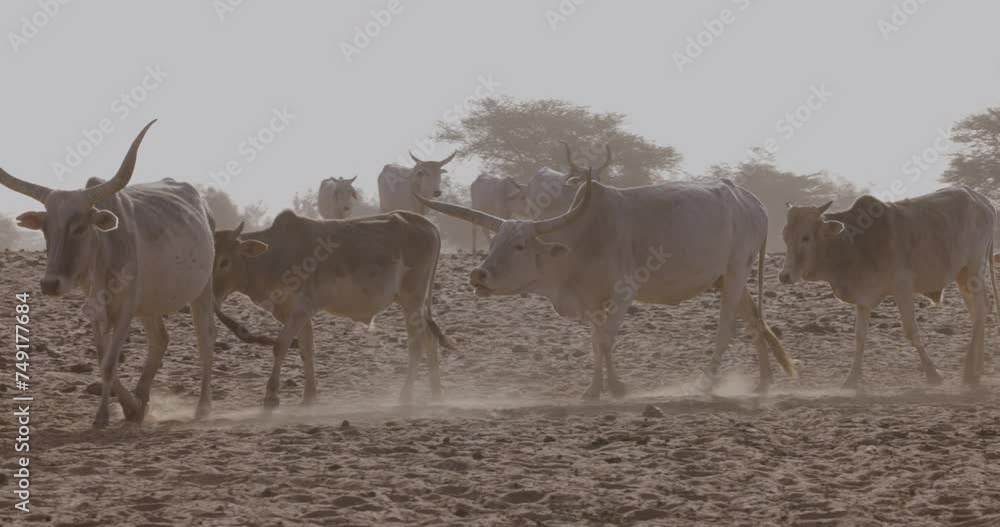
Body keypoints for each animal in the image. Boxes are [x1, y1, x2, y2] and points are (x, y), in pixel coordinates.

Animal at [0, 120, 216, 428]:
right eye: (45, 228)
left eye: (79, 227)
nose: (50, 284)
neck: (105, 252)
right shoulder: (97, 308)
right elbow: (103, 358)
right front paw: (131, 407)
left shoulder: (125, 308)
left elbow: (110, 362)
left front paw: (103, 415)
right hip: (148, 304)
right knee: (160, 340)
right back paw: (142, 397)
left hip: (202, 289)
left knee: (205, 338)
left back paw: (203, 407)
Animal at [211, 209, 454, 407]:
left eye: (224, 261)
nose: (212, 297)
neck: (272, 256)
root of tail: (427, 225)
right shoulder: (299, 313)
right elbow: (306, 349)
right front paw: (309, 396)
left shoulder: (302, 308)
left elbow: (280, 346)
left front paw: (272, 396)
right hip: (414, 303)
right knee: (430, 340)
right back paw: (437, 393)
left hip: (412, 299)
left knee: (417, 344)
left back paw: (406, 395)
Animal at [416, 172, 796, 399]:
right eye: (494, 242)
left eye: (520, 245)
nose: (478, 275)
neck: (582, 239)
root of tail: (751, 201)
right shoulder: (591, 302)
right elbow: (595, 342)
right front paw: (594, 388)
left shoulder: (623, 294)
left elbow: (605, 341)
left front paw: (615, 386)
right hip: (727, 279)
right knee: (754, 321)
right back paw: (764, 381)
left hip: (735, 272)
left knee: (727, 328)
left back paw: (707, 382)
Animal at [779, 189, 1000, 388]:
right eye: (786, 237)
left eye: (806, 237)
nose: (785, 276)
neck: (855, 243)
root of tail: (982, 200)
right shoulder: (863, 299)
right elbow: (860, 337)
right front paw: (851, 378)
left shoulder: (902, 288)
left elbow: (911, 331)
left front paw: (933, 374)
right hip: (963, 276)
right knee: (978, 313)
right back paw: (976, 370)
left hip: (974, 267)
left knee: (980, 312)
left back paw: (970, 372)